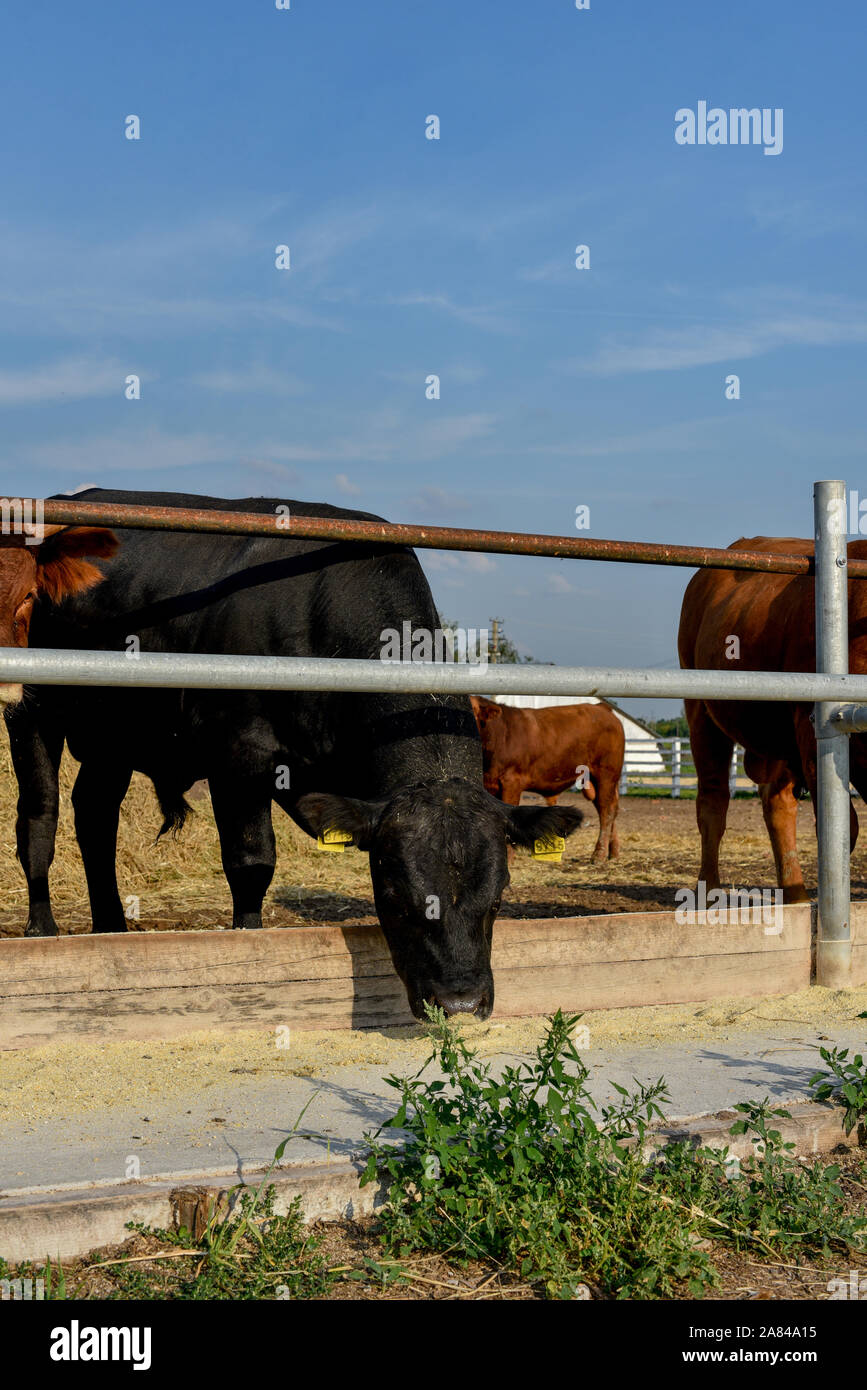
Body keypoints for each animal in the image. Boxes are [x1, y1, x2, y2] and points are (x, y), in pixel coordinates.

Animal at [469, 695, 623, 862]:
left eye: (473, 710)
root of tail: (602, 707)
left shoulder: (511, 783)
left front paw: (508, 858)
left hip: (606, 775)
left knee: (606, 811)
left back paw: (599, 854)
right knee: (611, 808)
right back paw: (613, 852)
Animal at [678, 535, 867, 903]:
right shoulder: (811, 732)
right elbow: (845, 829)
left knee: (777, 805)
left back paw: (796, 897)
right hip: (702, 714)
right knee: (712, 802)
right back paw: (709, 893)